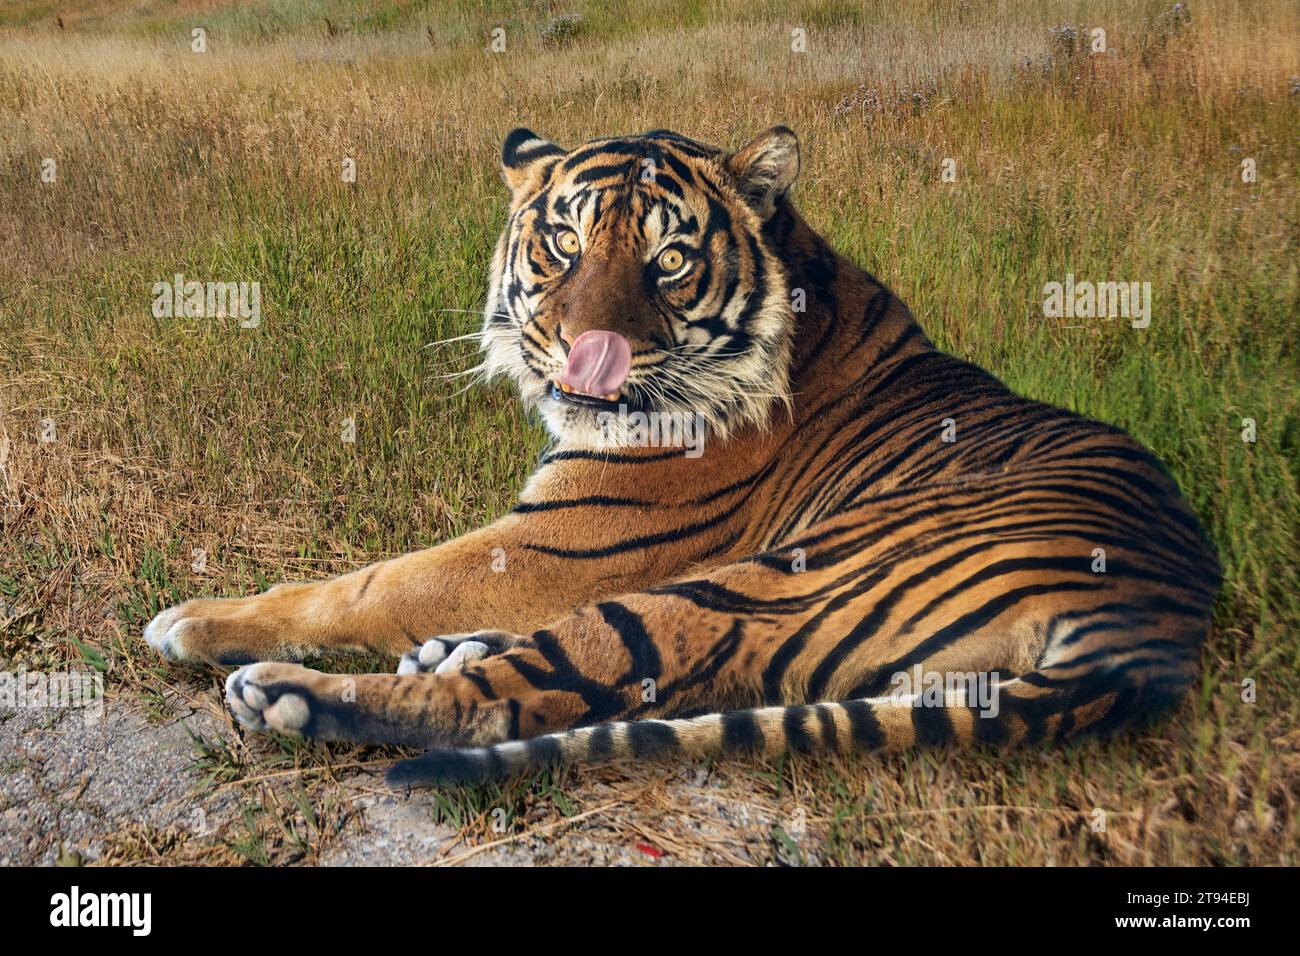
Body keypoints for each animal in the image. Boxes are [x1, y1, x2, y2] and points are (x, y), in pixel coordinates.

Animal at [144, 125, 1221, 787]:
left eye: (669, 259)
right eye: (564, 243)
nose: (586, 353)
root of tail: (1154, 624)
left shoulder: (551, 544)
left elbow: (363, 584)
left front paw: (195, 619)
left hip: (760, 583)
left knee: (504, 697)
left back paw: (286, 694)